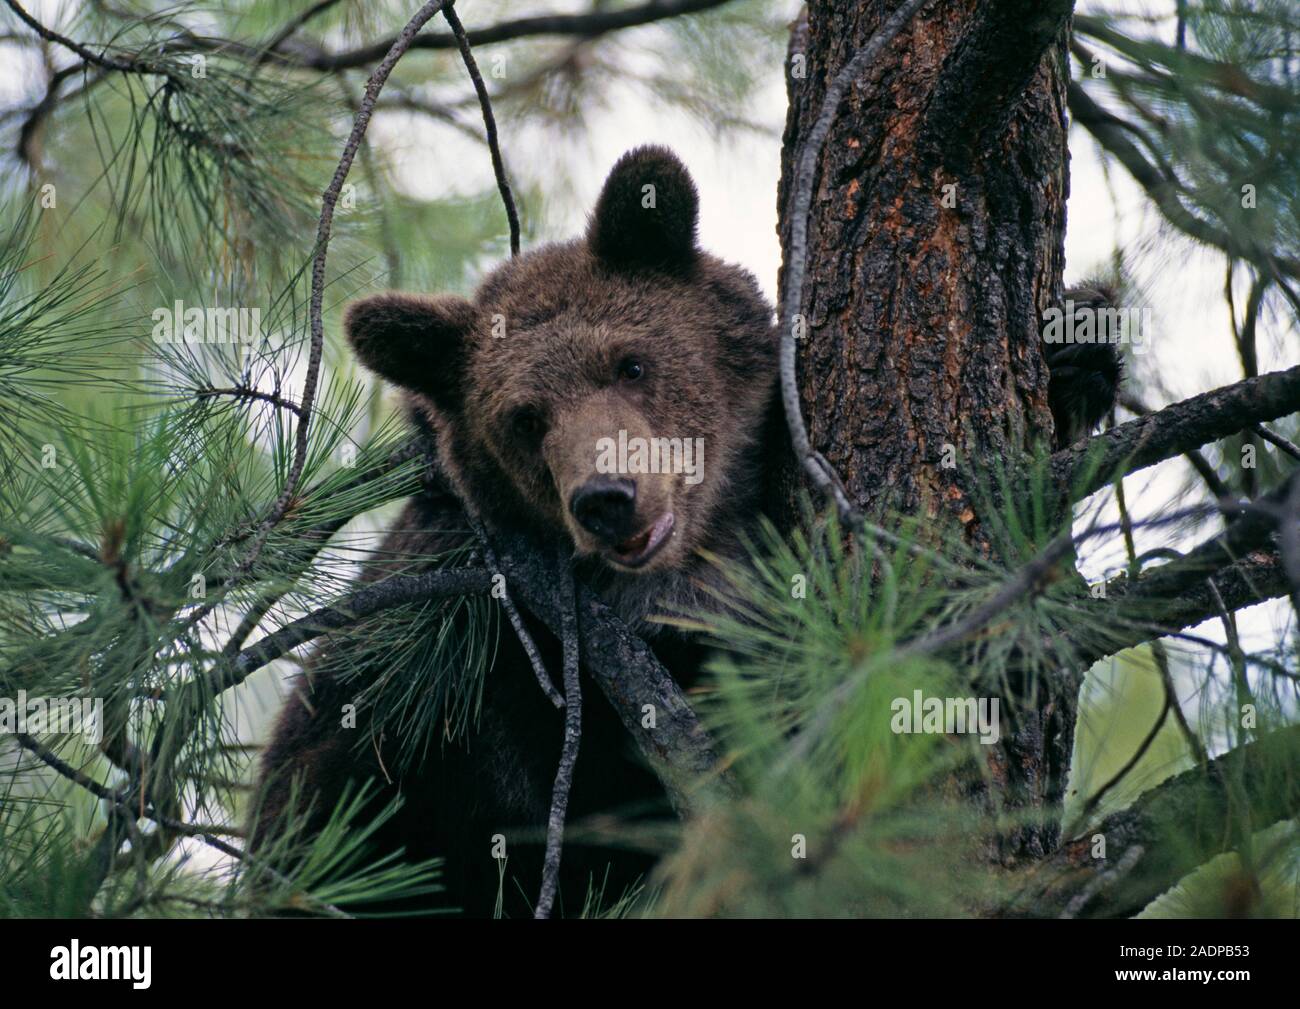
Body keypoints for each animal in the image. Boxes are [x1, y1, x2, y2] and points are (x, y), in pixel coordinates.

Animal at [251, 145, 1122, 917]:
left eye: (630, 363)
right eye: (524, 419)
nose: (607, 497)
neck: (689, 563)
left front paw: (1080, 351)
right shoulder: (491, 667)